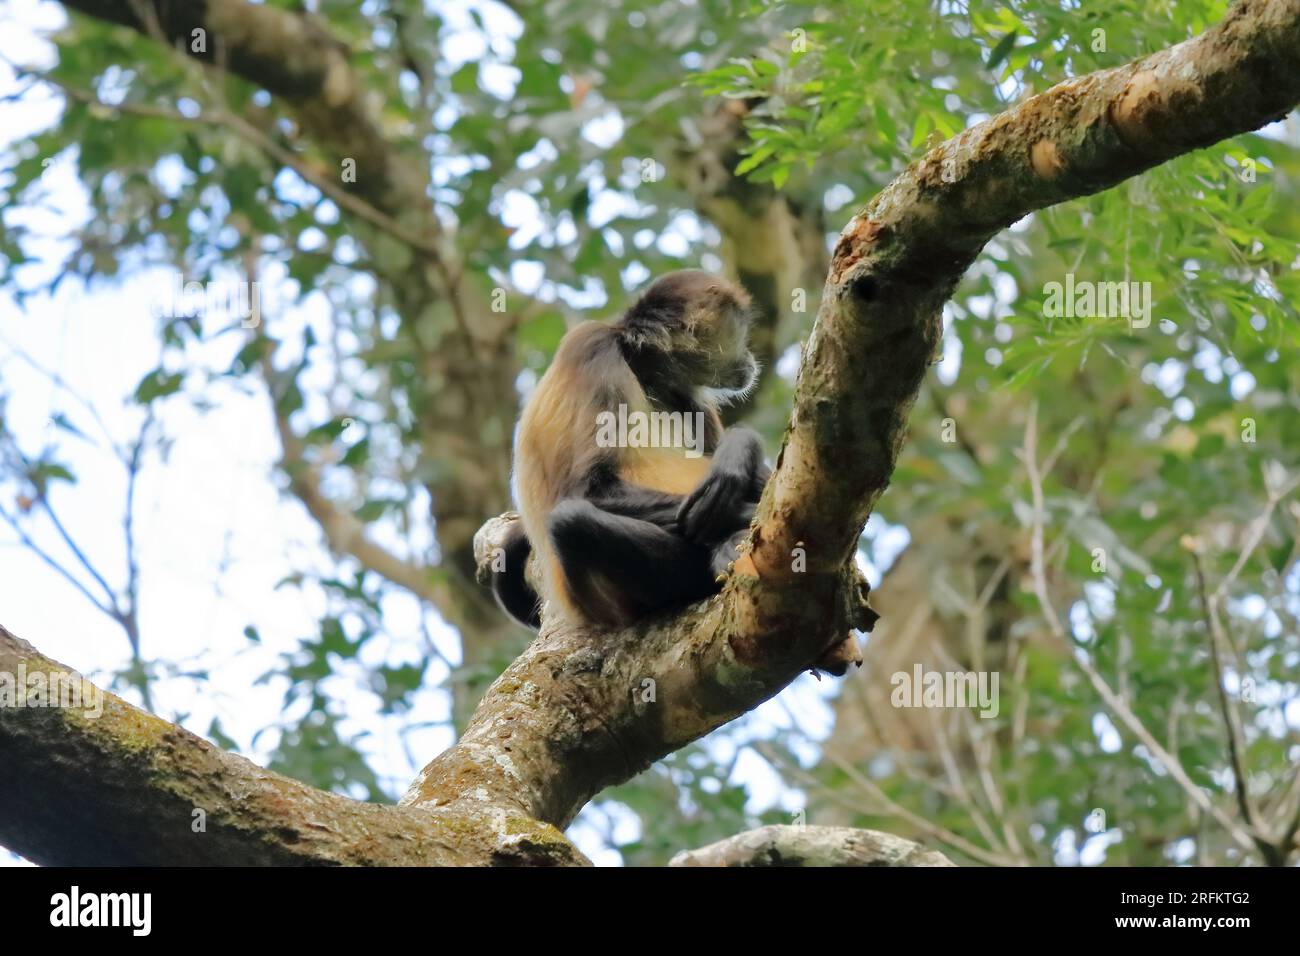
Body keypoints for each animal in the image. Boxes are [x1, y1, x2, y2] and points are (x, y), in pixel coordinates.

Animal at [490, 270, 770, 630]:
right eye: (742, 331)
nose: (749, 357)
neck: (640, 368)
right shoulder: (593, 346)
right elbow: (585, 491)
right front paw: (745, 510)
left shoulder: (683, 394)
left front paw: (739, 448)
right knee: (571, 520)